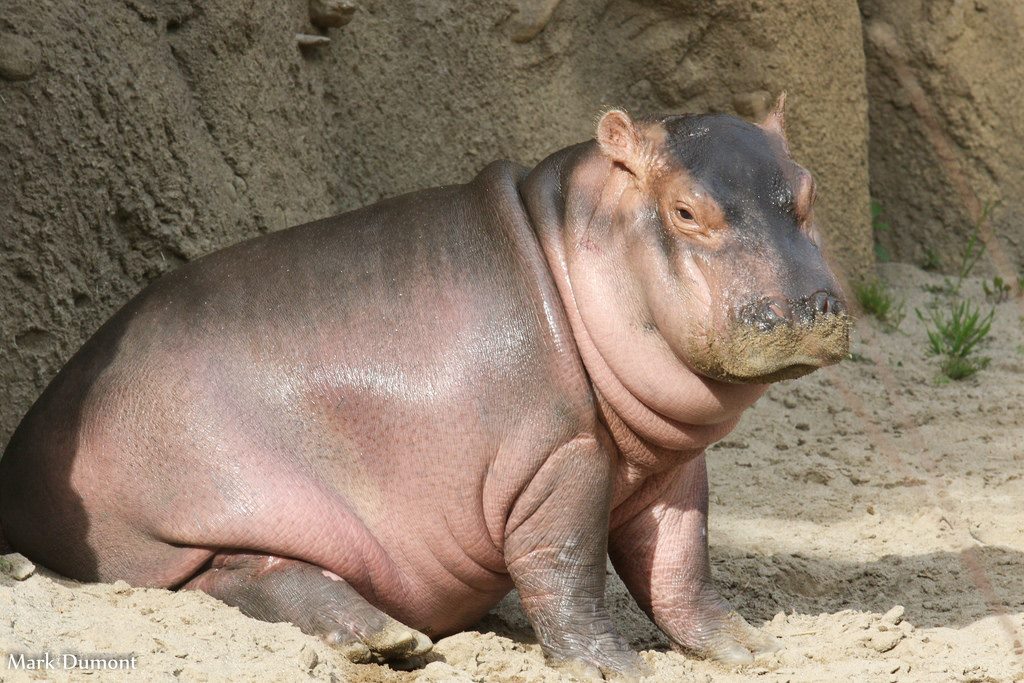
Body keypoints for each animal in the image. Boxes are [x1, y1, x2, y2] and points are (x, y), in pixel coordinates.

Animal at [0, 96, 850, 678]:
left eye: (809, 192)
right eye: (683, 210)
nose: (809, 307)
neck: (571, 238)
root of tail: (23, 451)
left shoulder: (671, 469)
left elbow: (679, 566)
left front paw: (750, 645)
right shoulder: (559, 459)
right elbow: (567, 564)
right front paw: (610, 665)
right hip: (199, 507)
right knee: (242, 575)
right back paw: (385, 637)